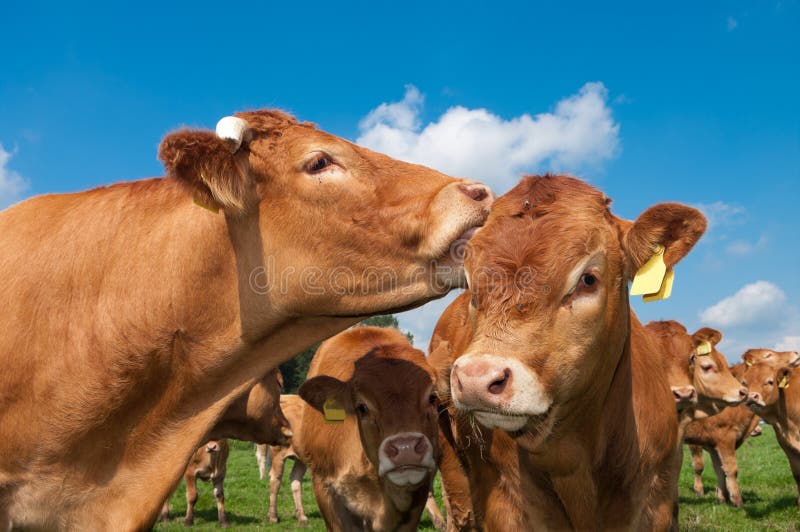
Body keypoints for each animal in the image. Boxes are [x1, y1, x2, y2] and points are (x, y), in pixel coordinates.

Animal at [686, 349, 798, 506]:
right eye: (768, 354)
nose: (795, 352)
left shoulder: (714, 443)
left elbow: (720, 469)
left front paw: (722, 498)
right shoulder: (719, 437)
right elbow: (714, 467)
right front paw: (736, 500)